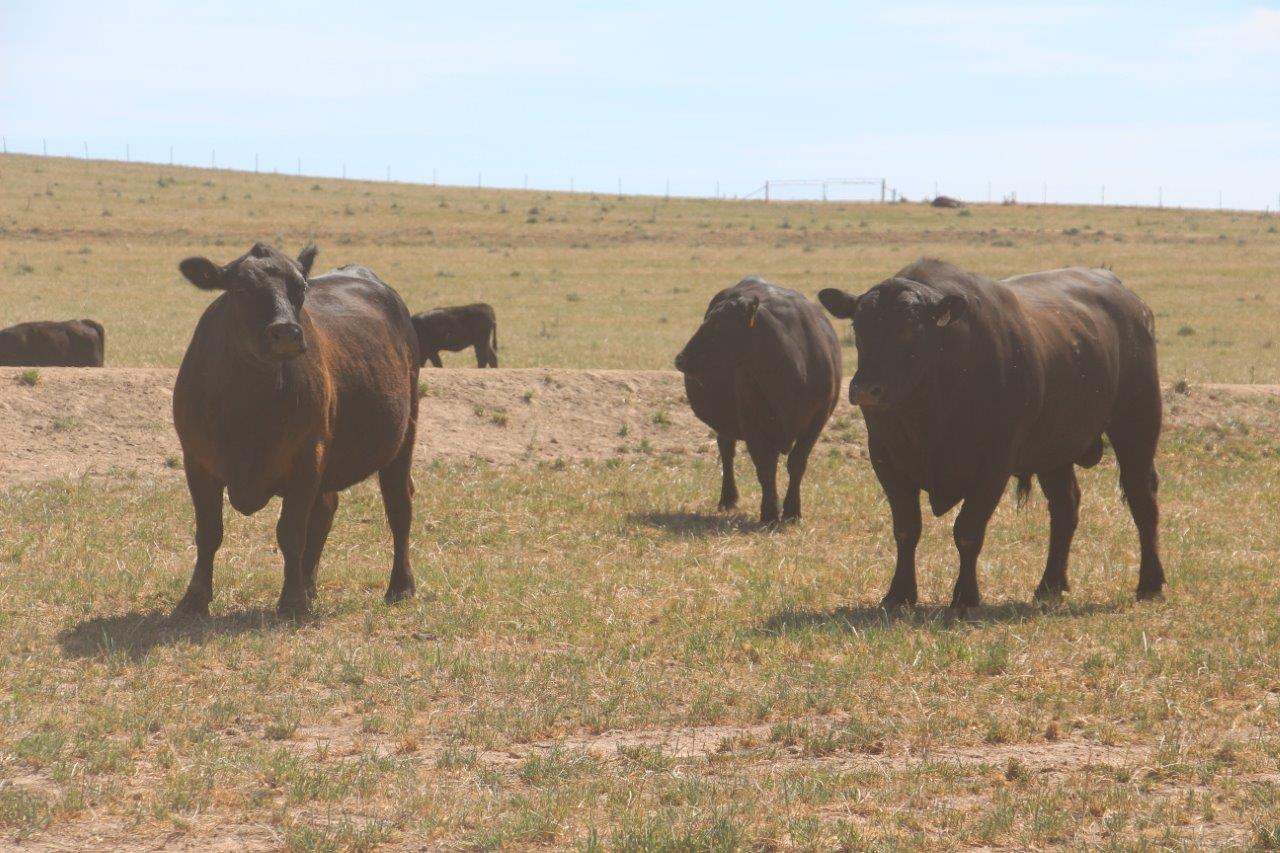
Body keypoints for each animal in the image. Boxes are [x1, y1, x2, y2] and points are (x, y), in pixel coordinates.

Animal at [171, 243, 420, 617]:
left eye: (300, 287)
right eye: (241, 288)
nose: (286, 332)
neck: (249, 408)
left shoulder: (307, 455)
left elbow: (290, 531)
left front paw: (291, 601)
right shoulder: (197, 461)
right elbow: (209, 531)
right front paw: (194, 598)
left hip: (404, 436)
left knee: (398, 506)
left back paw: (400, 586)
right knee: (326, 510)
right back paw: (309, 584)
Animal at [675, 278, 842, 524]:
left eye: (717, 326)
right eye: (707, 321)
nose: (680, 358)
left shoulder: (816, 421)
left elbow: (797, 463)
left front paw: (792, 511)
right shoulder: (752, 422)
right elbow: (766, 467)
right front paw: (770, 513)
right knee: (727, 449)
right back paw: (728, 498)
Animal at [818, 258, 1165, 610]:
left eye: (910, 328)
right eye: (859, 327)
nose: (865, 389)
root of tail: (1127, 296)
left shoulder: (995, 464)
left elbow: (968, 530)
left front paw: (965, 596)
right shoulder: (886, 459)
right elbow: (906, 529)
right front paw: (899, 594)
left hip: (1137, 424)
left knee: (1141, 496)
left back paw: (1150, 583)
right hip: (1054, 452)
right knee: (1065, 508)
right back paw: (1050, 584)